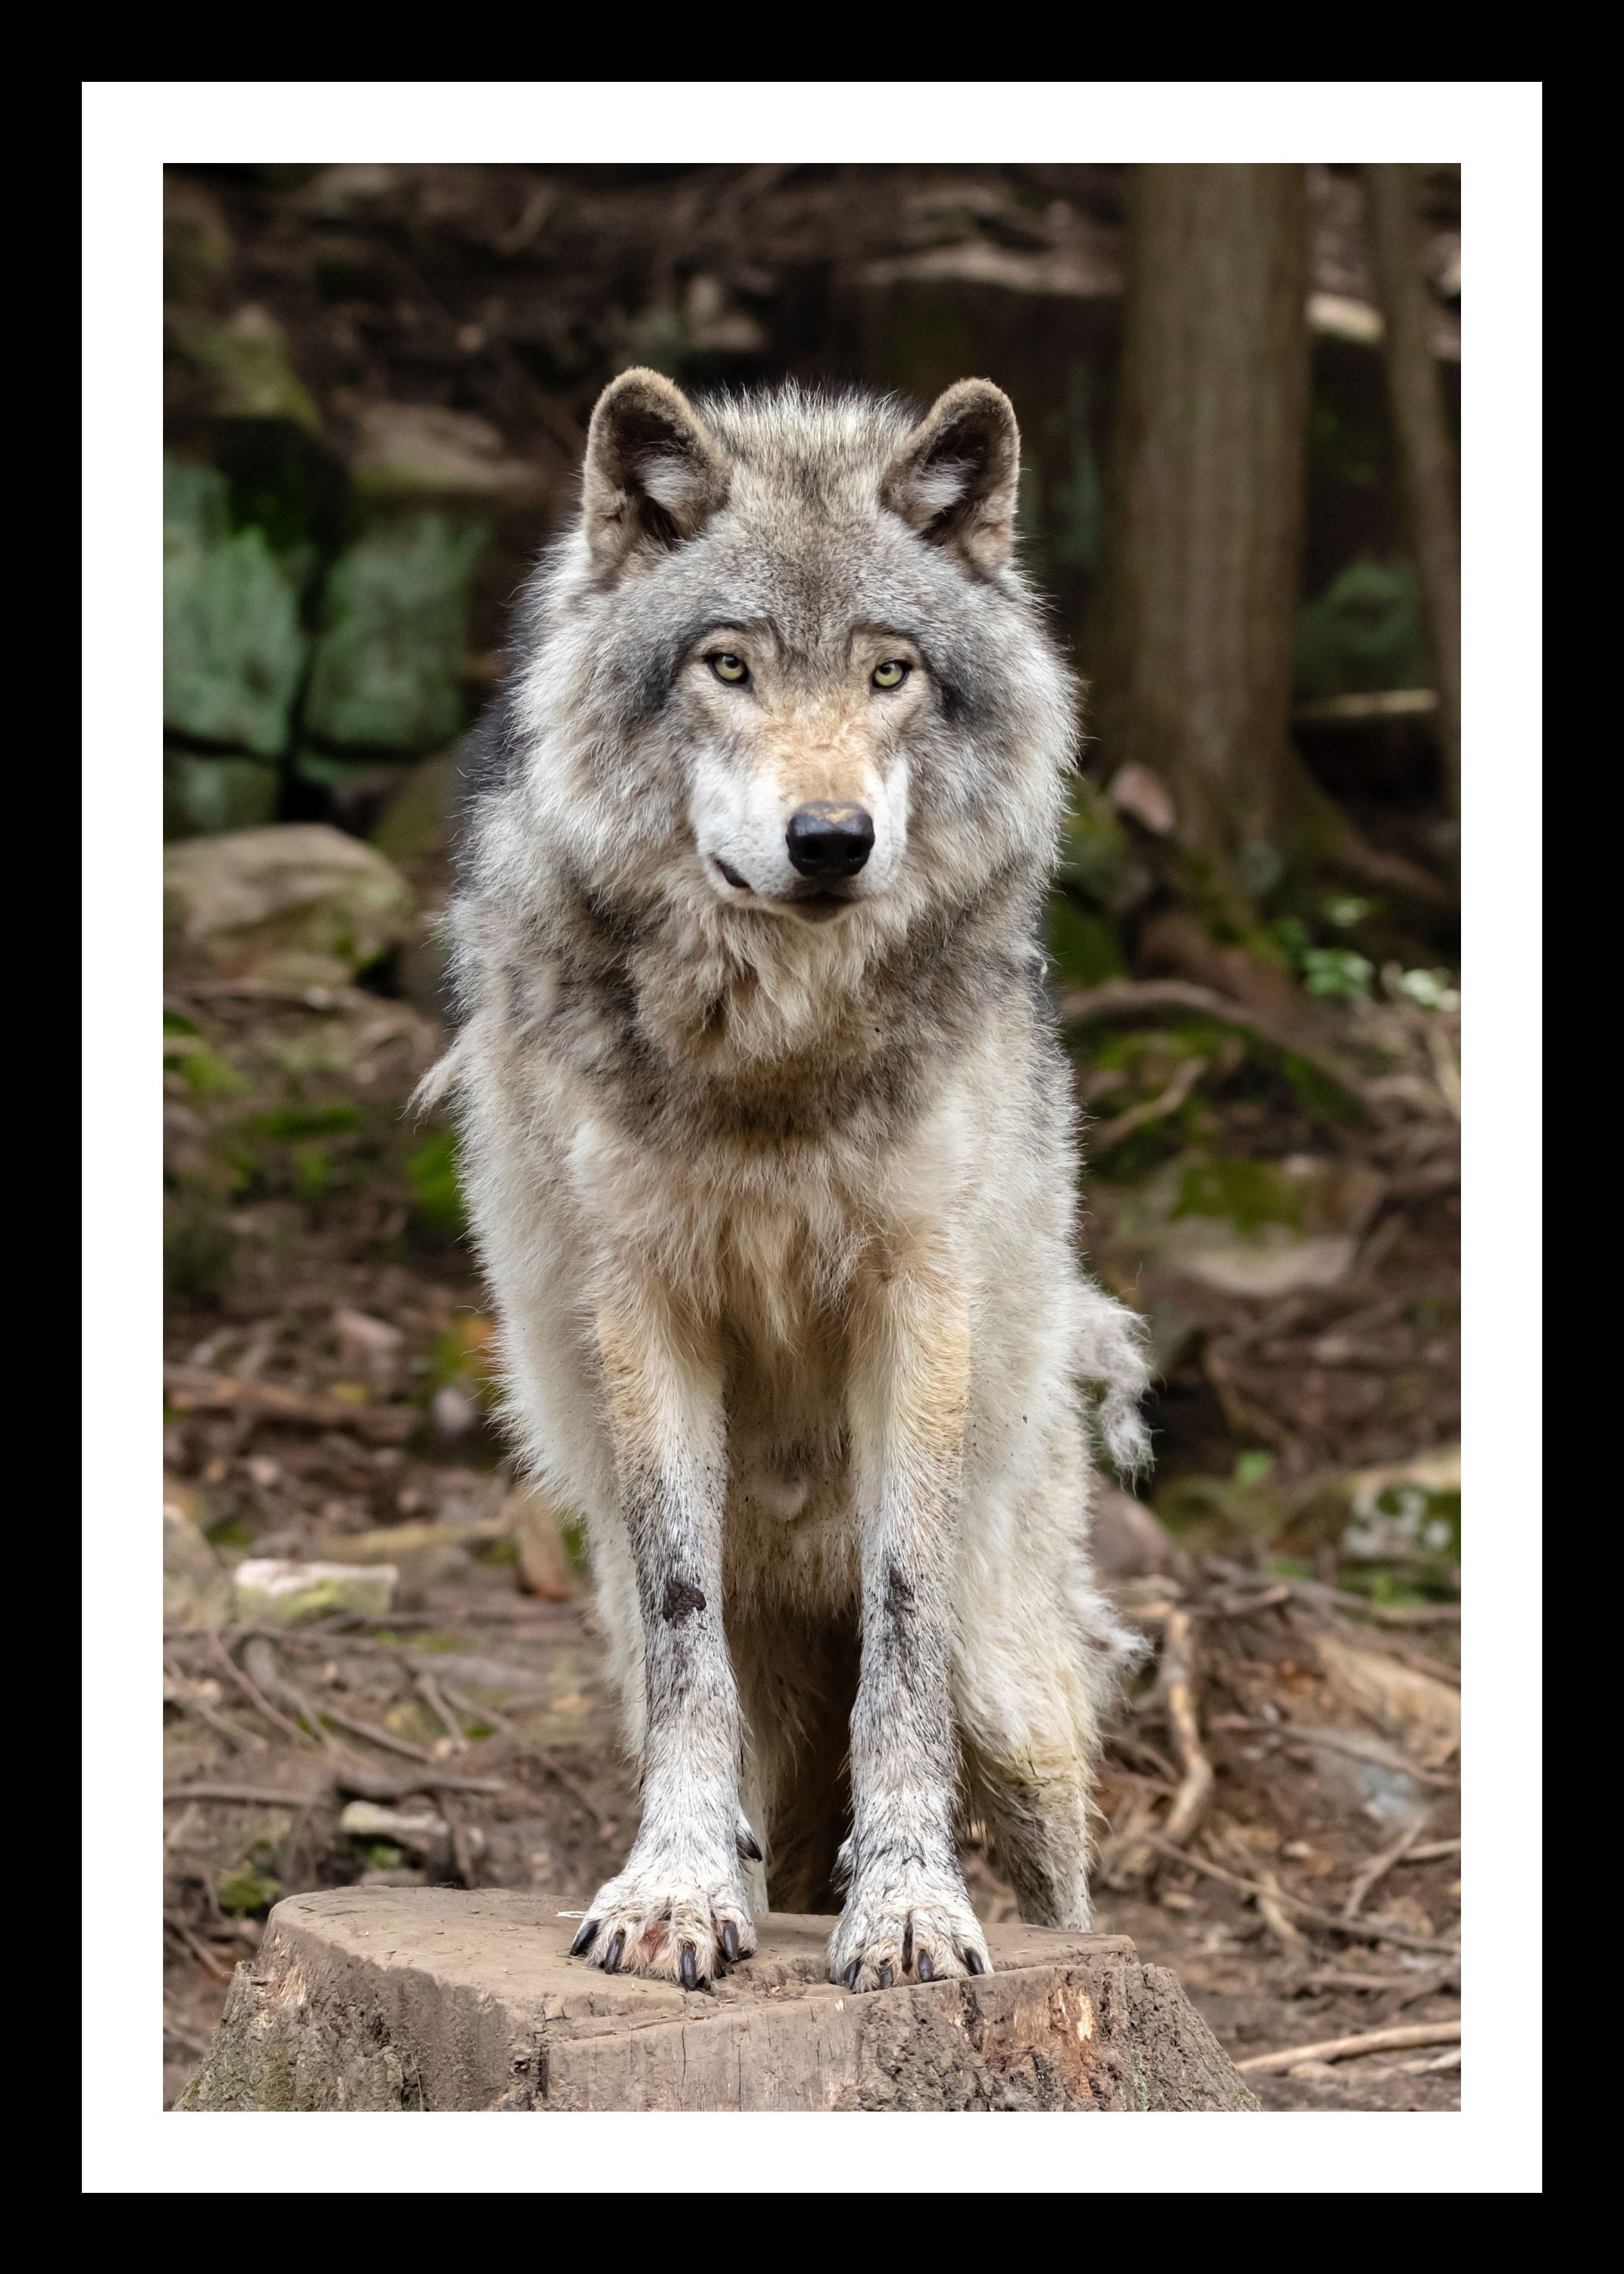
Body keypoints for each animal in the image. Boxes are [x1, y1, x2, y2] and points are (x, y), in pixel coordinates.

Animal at [432, 368, 1150, 1993]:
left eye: (889, 672)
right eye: (728, 666)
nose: (830, 842)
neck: (772, 1047)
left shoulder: (917, 1307)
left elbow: (902, 1632)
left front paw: (910, 1909)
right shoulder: (643, 1312)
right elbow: (685, 1619)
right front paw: (674, 1895)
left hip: (1015, 1685)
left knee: (1056, 1849)